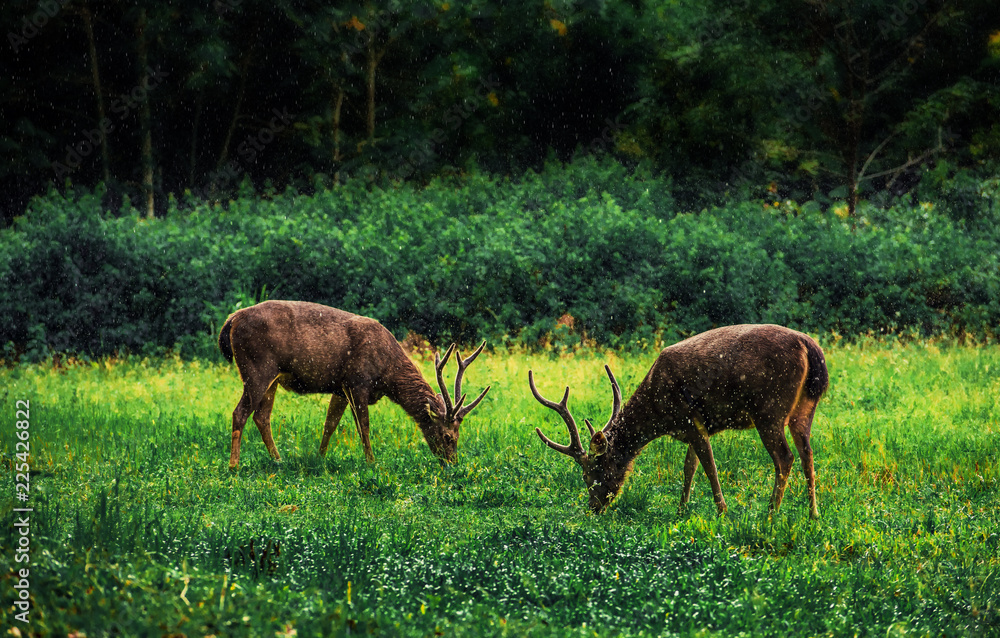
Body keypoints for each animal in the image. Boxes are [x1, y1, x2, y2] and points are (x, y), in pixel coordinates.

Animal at [218, 300, 490, 469]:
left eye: (458, 435)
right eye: (447, 436)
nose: (452, 464)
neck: (387, 373)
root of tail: (231, 320)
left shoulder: (340, 387)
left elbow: (330, 424)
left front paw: (320, 458)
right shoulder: (358, 381)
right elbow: (364, 427)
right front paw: (371, 462)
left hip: (272, 377)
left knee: (261, 416)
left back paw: (278, 460)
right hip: (257, 367)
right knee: (240, 413)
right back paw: (234, 465)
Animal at [528, 324, 829, 518]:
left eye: (591, 472)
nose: (593, 507)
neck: (659, 416)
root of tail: (811, 349)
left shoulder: (690, 418)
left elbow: (709, 467)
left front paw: (722, 512)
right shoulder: (695, 427)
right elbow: (689, 468)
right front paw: (681, 511)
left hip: (769, 408)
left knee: (785, 457)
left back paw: (770, 514)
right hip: (804, 407)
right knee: (807, 453)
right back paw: (813, 514)